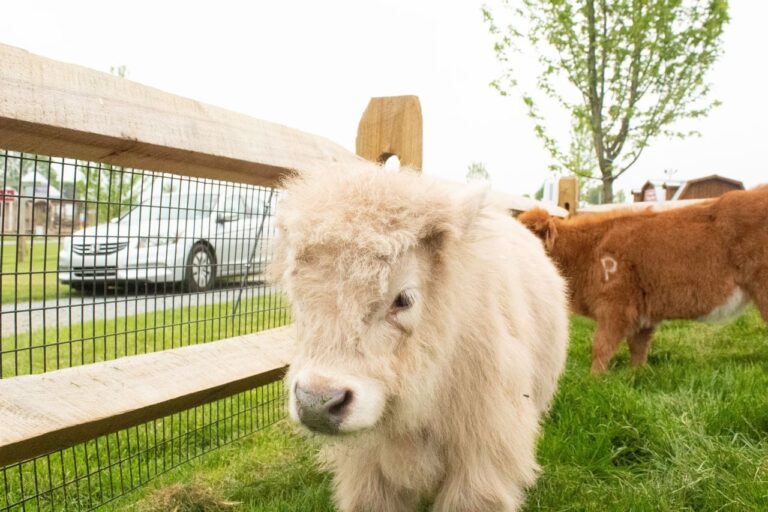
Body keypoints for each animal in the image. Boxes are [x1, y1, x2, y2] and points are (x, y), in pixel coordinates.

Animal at [518, 186, 768, 375]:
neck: (587, 250)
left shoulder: (614, 307)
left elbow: (601, 347)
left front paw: (593, 380)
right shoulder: (644, 313)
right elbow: (638, 348)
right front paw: (636, 375)